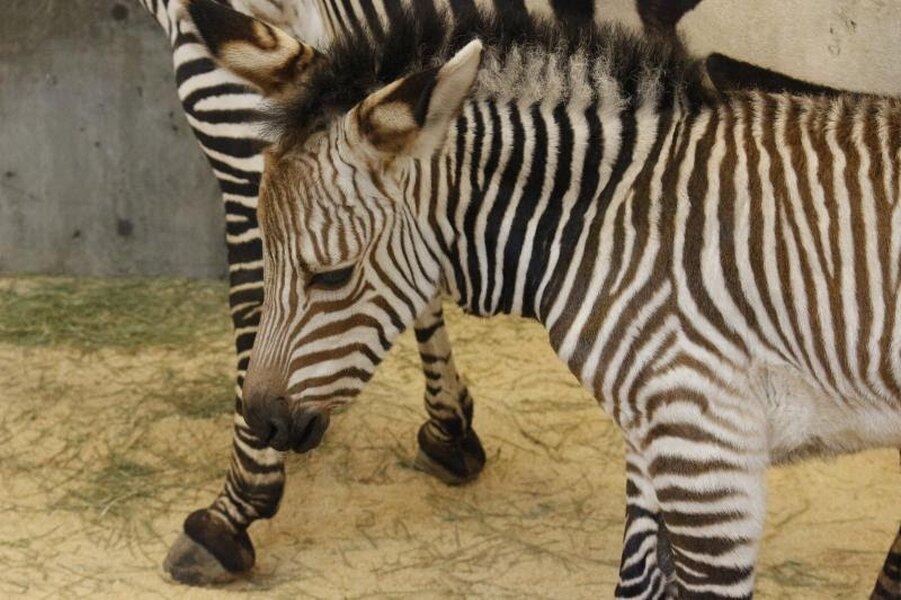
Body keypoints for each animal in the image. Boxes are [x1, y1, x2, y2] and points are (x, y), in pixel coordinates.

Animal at [181, 0, 901, 597]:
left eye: (331, 276)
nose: (264, 421)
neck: (608, 218)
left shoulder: (705, 443)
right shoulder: (656, 431)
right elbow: (638, 577)